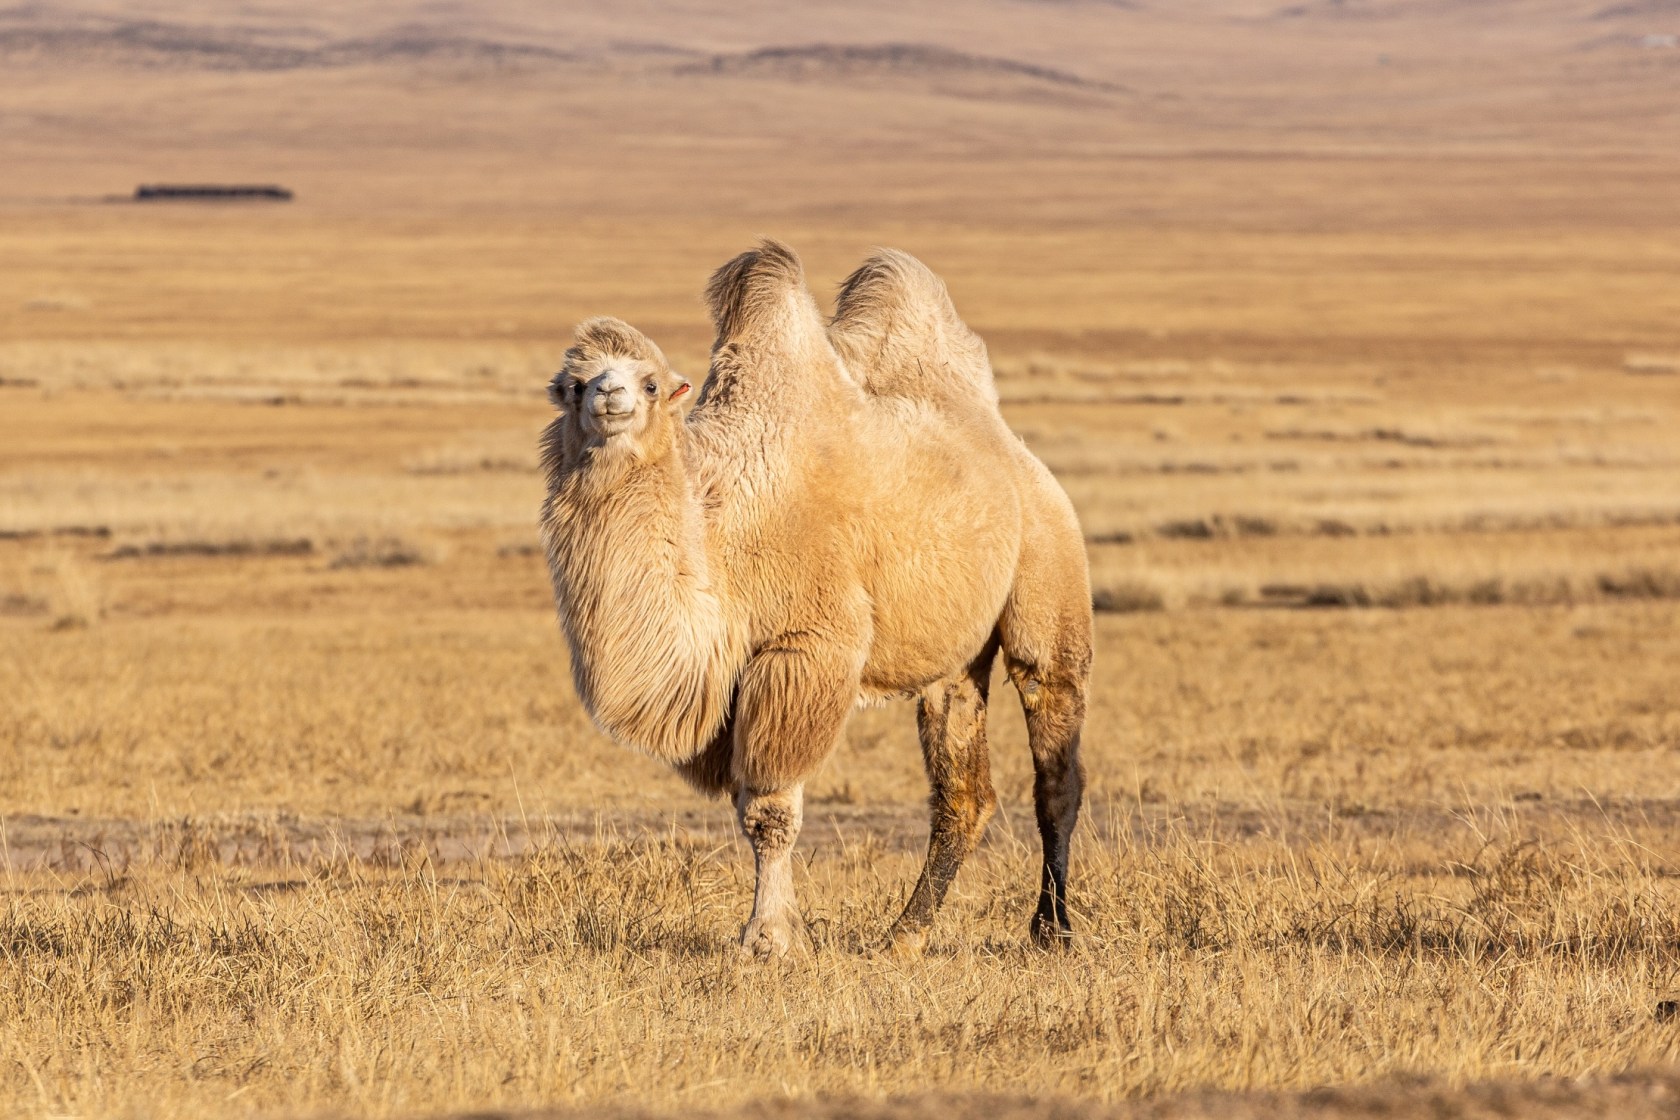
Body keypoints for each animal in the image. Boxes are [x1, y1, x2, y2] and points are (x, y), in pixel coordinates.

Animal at [539, 240, 1091, 957]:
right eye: (575, 382)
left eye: (651, 381)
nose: (610, 395)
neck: (723, 530)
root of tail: (1016, 455)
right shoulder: (731, 691)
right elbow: (749, 807)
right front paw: (775, 931)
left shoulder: (803, 650)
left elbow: (771, 810)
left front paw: (768, 938)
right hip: (953, 661)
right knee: (963, 792)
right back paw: (904, 935)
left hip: (1049, 572)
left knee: (1055, 765)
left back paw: (1052, 930)